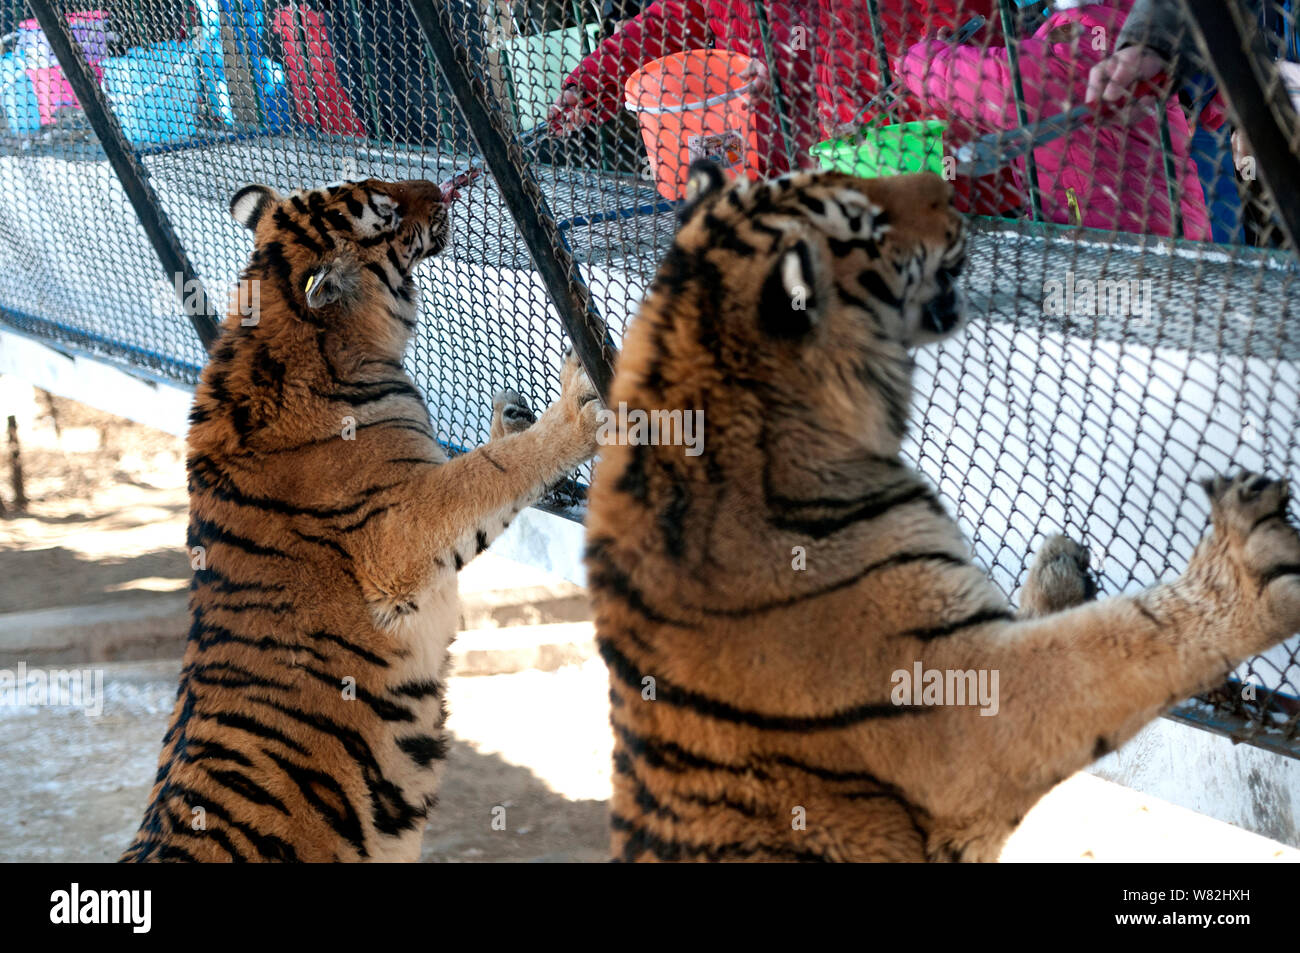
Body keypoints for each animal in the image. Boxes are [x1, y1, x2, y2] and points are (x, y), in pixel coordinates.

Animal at [121, 177, 600, 862]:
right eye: (389, 212)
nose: (440, 189)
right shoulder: (394, 533)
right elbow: (487, 475)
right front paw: (575, 407)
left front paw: (511, 417)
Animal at [583, 160, 1300, 863]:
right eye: (869, 222)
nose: (948, 185)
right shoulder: (959, 712)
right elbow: (1116, 644)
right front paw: (1243, 571)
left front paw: (1061, 570)